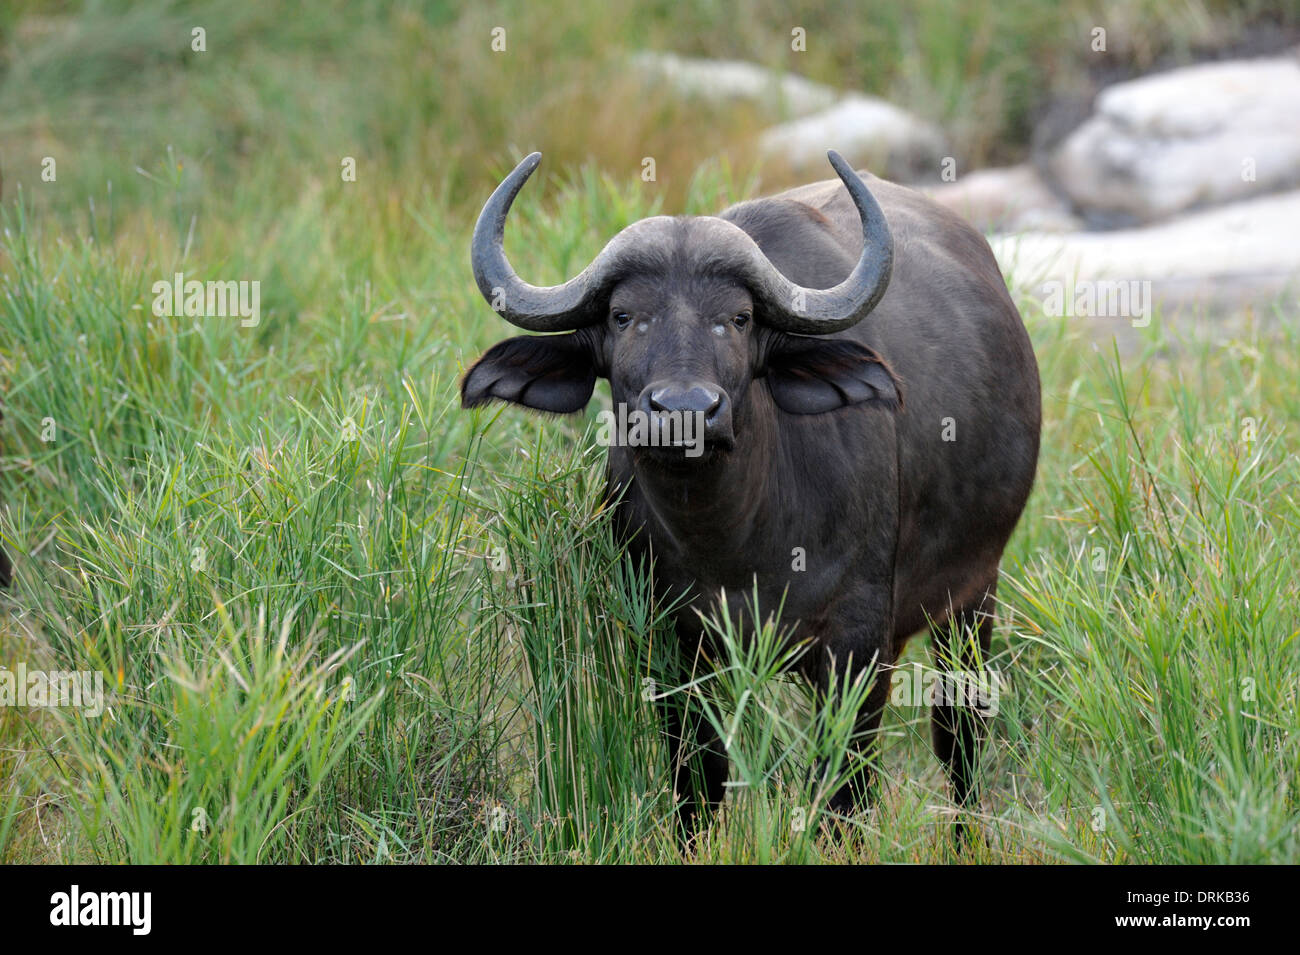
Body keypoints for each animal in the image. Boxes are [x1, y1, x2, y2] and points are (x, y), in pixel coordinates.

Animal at [462, 150, 1041, 840]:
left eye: (737, 319)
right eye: (623, 316)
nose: (686, 410)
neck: (731, 539)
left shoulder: (857, 643)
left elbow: (842, 790)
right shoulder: (670, 643)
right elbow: (698, 775)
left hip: (974, 597)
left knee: (960, 734)